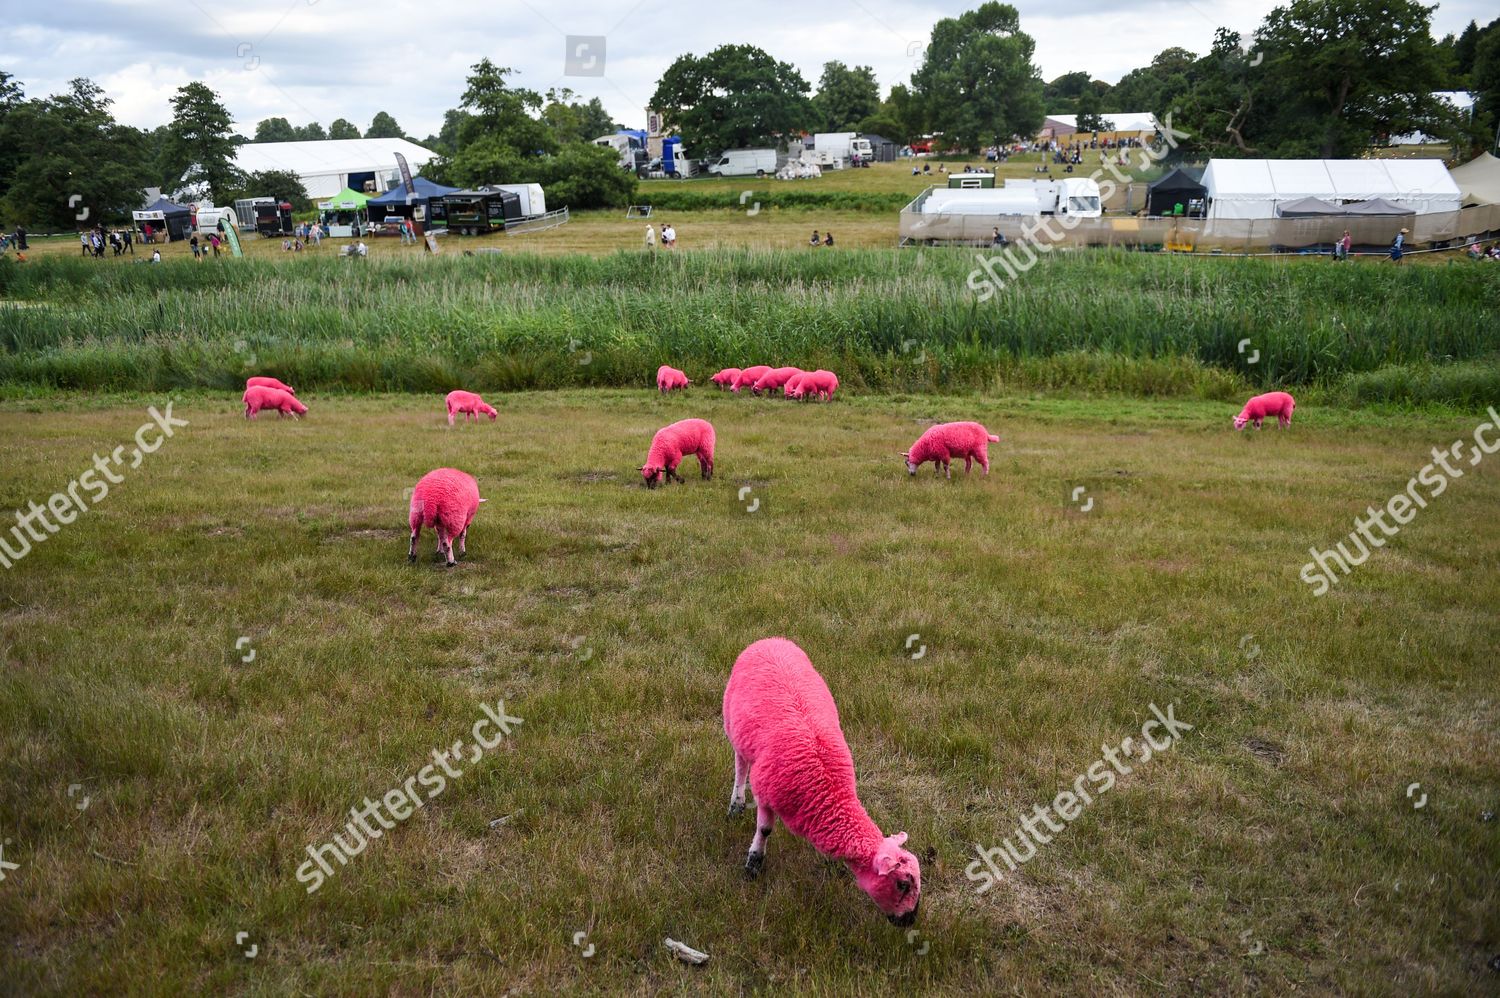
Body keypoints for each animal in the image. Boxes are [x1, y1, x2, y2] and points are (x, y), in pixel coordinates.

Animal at [723, 637, 922, 926]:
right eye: (903, 884)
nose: (909, 920)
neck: (828, 788)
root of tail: (771, 639)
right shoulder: (766, 794)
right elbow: (764, 830)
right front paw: (753, 864)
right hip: (733, 725)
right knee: (740, 766)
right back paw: (736, 803)